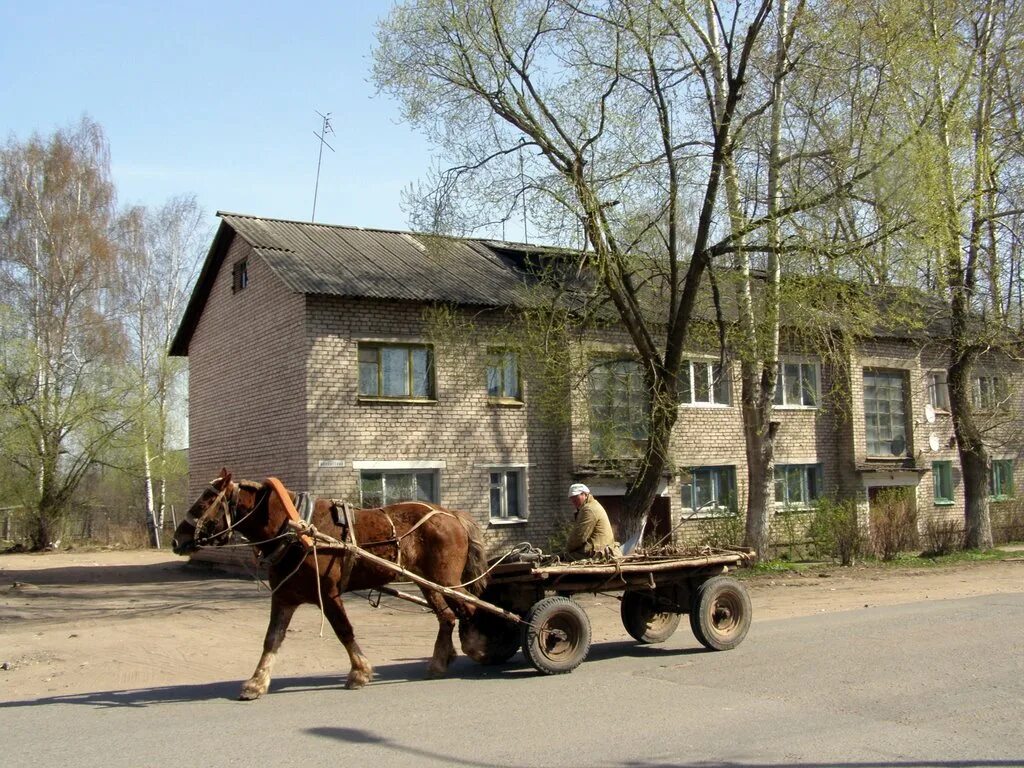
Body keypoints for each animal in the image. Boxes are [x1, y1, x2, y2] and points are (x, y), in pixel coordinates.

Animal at [169, 466, 489, 700]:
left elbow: (344, 631)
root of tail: (451, 514)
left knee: (470, 609)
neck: (297, 530)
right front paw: (256, 683)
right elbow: (272, 638)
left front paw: (359, 672)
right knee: (447, 616)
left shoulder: (330, 593)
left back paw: (476, 648)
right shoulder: (284, 597)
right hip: (428, 583)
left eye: (204, 502)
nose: (176, 539)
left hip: (445, 580)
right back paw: (440, 661)